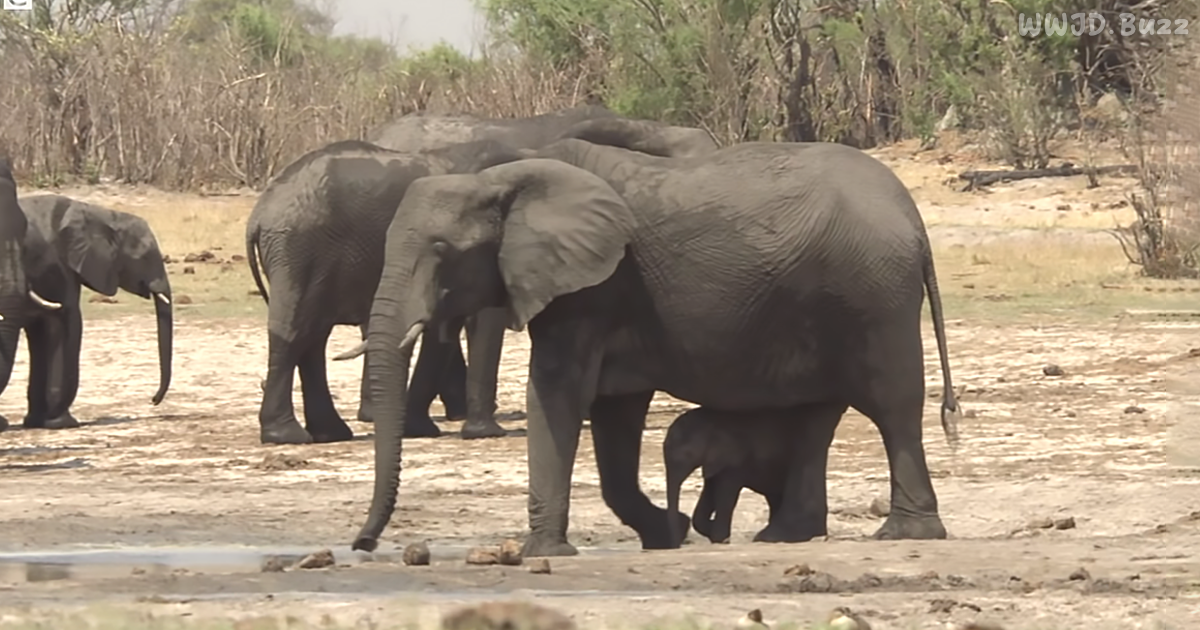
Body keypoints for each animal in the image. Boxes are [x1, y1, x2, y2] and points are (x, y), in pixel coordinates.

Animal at [5, 194, 172, 430]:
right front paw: (62, 423)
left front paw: (38, 422)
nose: (153, 400)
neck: (100, 213)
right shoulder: (60, 266)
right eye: (146, 257)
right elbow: (67, 323)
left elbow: (42, 332)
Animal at [663, 405, 810, 546]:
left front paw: (722, 540)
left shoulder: (734, 460)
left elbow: (726, 496)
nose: (680, 543)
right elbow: (708, 494)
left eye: (687, 454)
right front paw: (713, 530)